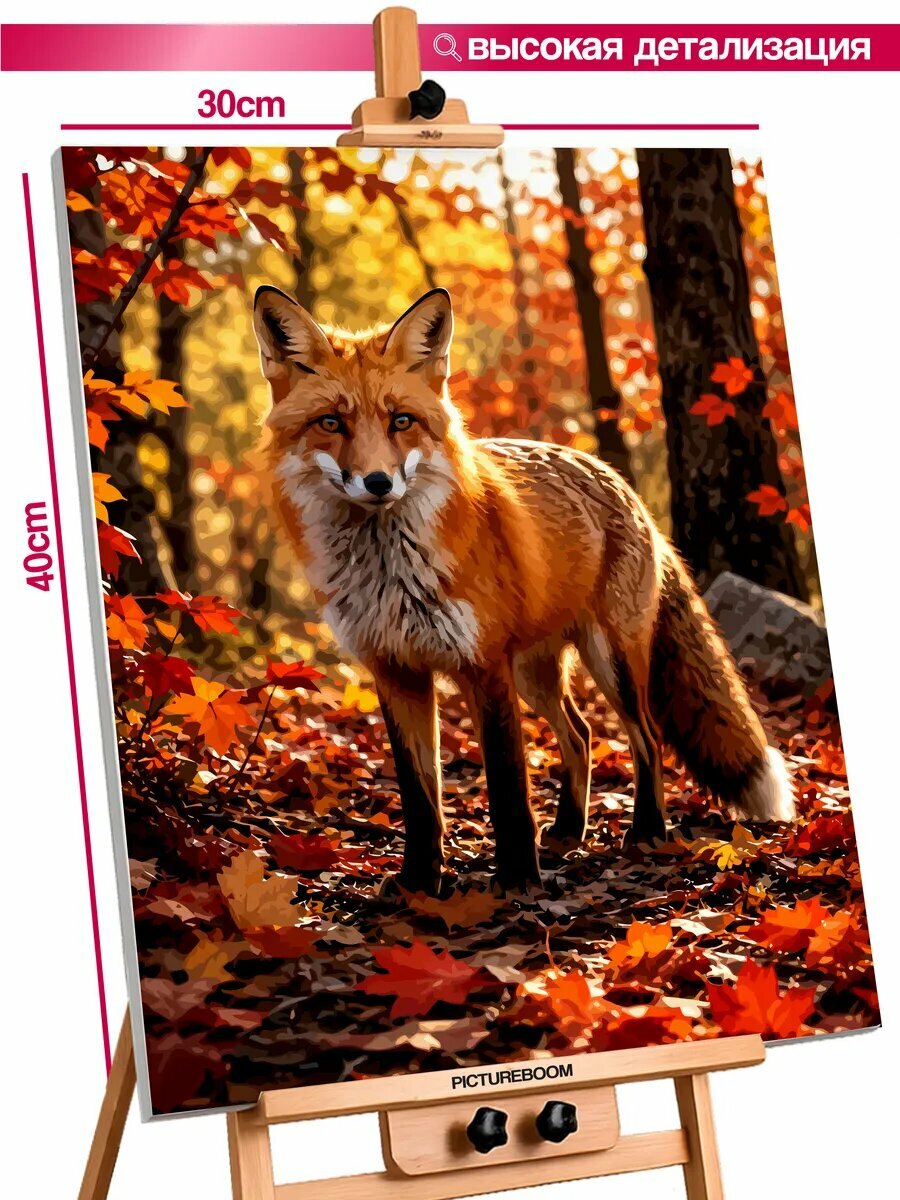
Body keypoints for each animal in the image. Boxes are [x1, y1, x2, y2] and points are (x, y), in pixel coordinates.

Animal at [252, 284, 795, 896]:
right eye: (330, 423)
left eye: (401, 420)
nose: (377, 482)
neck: (388, 570)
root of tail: (614, 477)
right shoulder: (395, 670)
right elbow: (420, 799)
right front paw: (418, 882)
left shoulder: (483, 664)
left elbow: (508, 786)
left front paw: (515, 879)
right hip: (537, 675)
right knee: (581, 735)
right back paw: (567, 831)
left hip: (611, 662)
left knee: (648, 738)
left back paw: (646, 834)